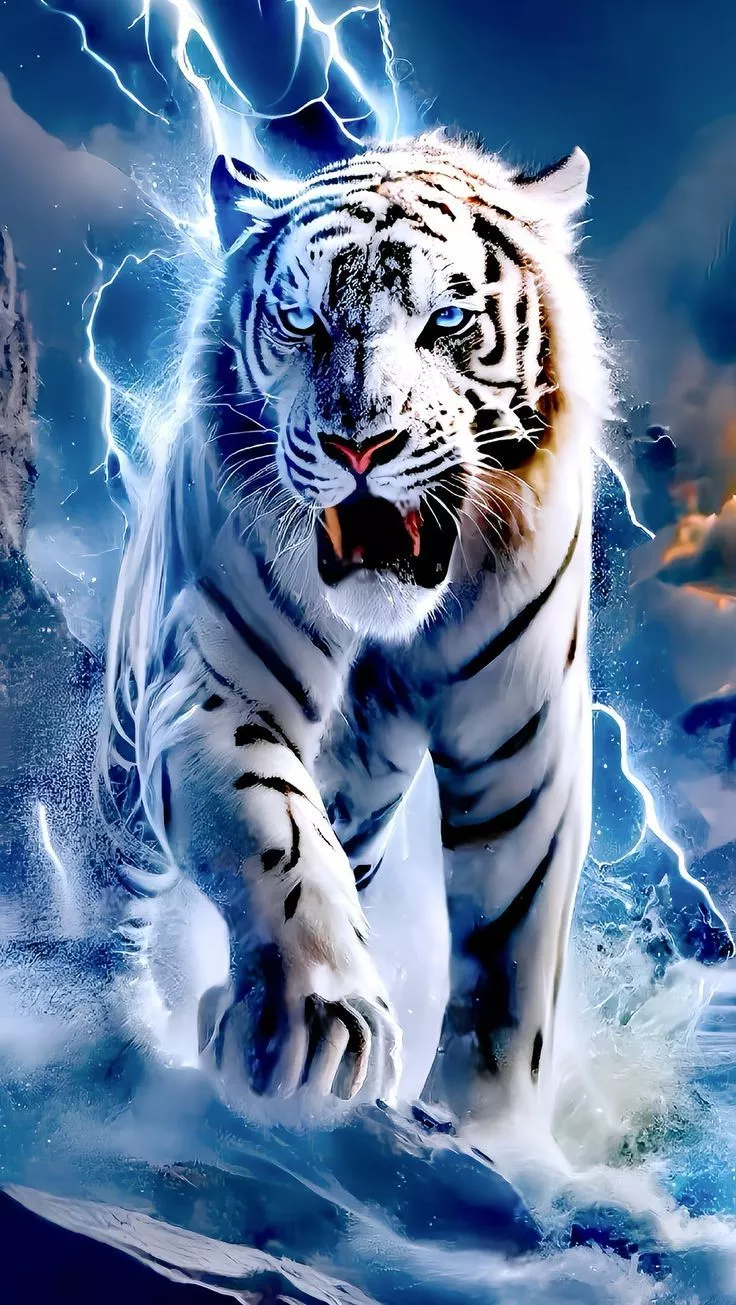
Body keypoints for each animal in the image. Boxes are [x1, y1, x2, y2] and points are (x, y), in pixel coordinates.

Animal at [100, 132, 605, 1135]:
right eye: (301, 321)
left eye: (447, 319)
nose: (359, 444)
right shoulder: (219, 685)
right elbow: (280, 832)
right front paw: (321, 1026)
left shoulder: (523, 748)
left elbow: (512, 959)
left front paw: (488, 1131)